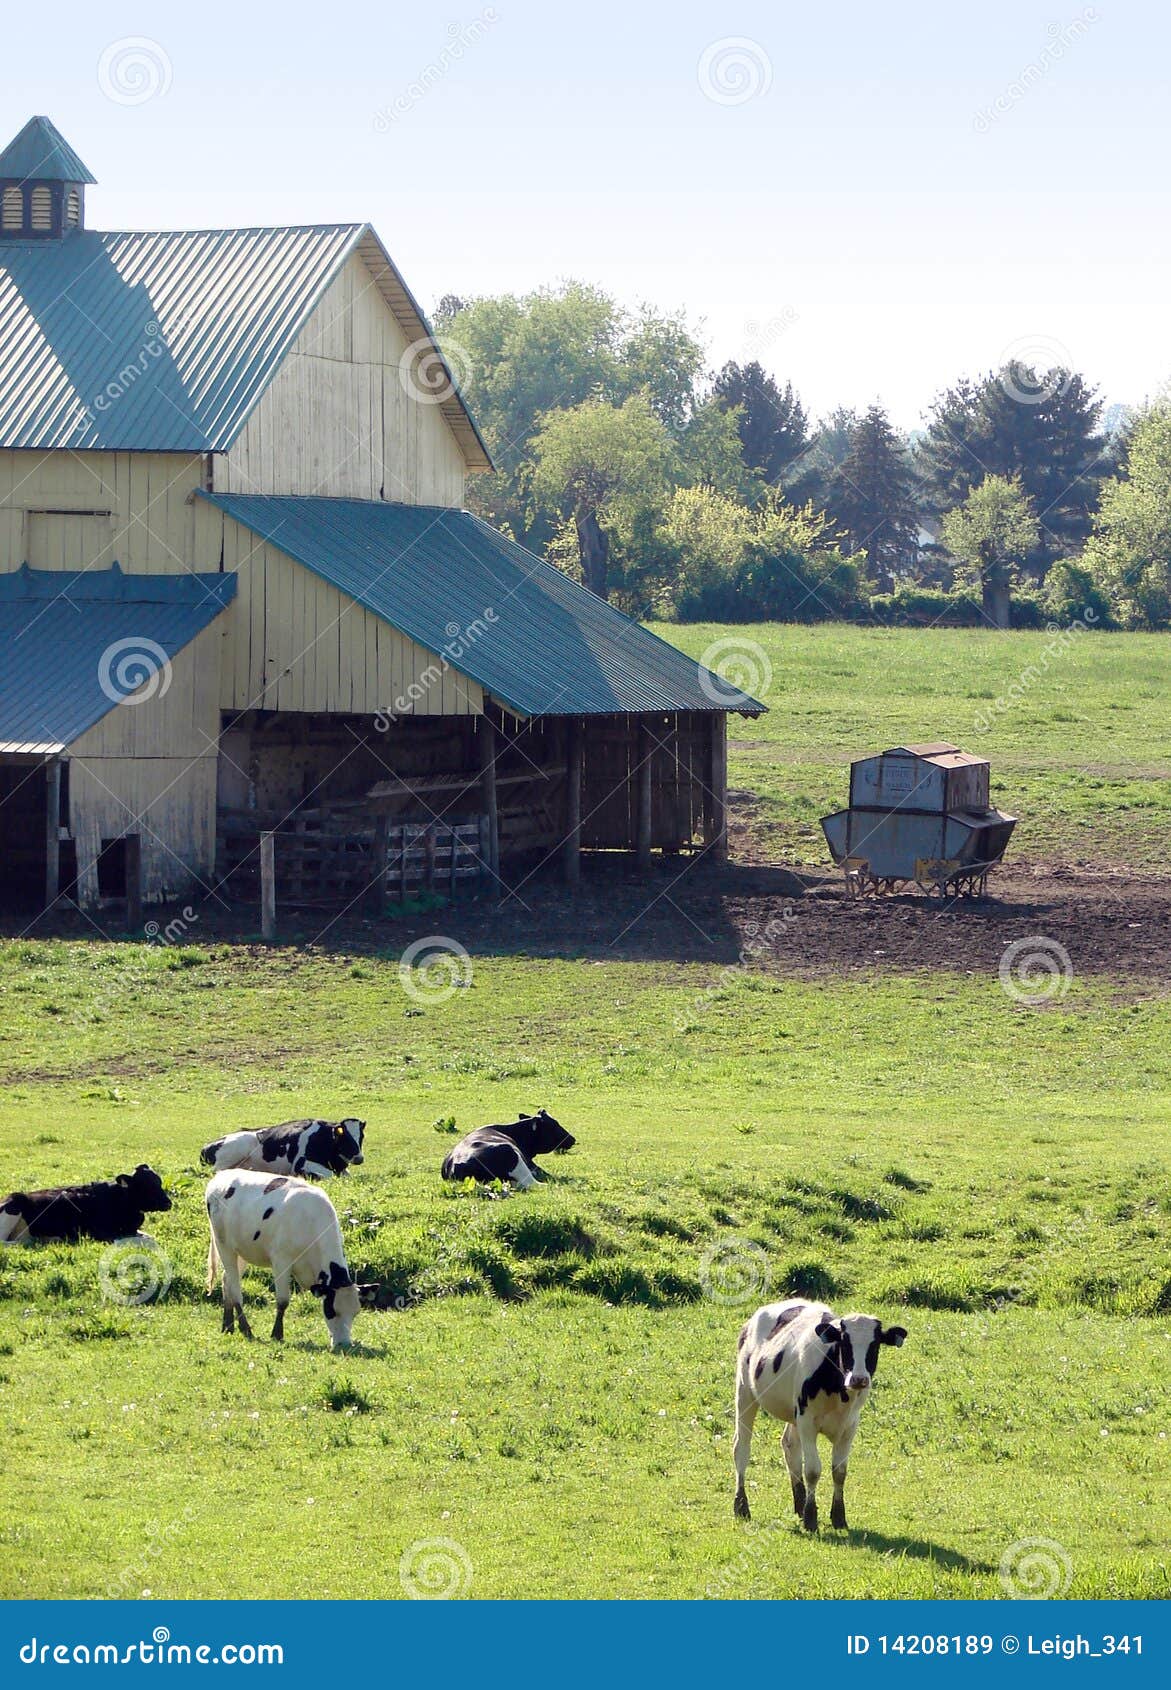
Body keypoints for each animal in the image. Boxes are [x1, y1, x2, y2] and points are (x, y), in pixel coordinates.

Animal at [0, 1164, 171, 1245]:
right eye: (146, 1186)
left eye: (159, 1182)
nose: (168, 1203)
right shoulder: (100, 1233)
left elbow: (149, 1237)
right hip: (14, 1204)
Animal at [199, 1117, 365, 1181]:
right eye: (345, 1138)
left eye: (361, 1136)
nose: (359, 1158)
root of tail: (206, 1146)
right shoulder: (300, 1164)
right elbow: (330, 1175)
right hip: (237, 1147)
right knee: (217, 1171)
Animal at [205, 1169, 380, 1349]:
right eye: (331, 1311)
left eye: (355, 1313)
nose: (344, 1344)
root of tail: (222, 1175)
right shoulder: (281, 1260)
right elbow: (283, 1301)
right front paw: (277, 1334)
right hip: (223, 1245)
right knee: (235, 1287)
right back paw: (245, 1329)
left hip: (242, 1250)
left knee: (226, 1280)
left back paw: (228, 1326)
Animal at [440, 1110, 575, 1189]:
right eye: (554, 1125)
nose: (572, 1139)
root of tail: (456, 1165)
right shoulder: (531, 1164)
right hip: (511, 1154)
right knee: (531, 1183)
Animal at [733, 1298, 907, 1531]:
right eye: (844, 1343)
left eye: (875, 1344)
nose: (859, 1379)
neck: (838, 1390)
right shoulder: (807, 1422)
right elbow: (813, 1470)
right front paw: (811, 1518)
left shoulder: (849, 1425)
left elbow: (840, 1471)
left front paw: (838, 1516)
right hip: (745, 1391)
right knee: (741, 1448)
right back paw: (741, 1506)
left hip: (793, 1412)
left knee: (789, 1446)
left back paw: (799, 1504)